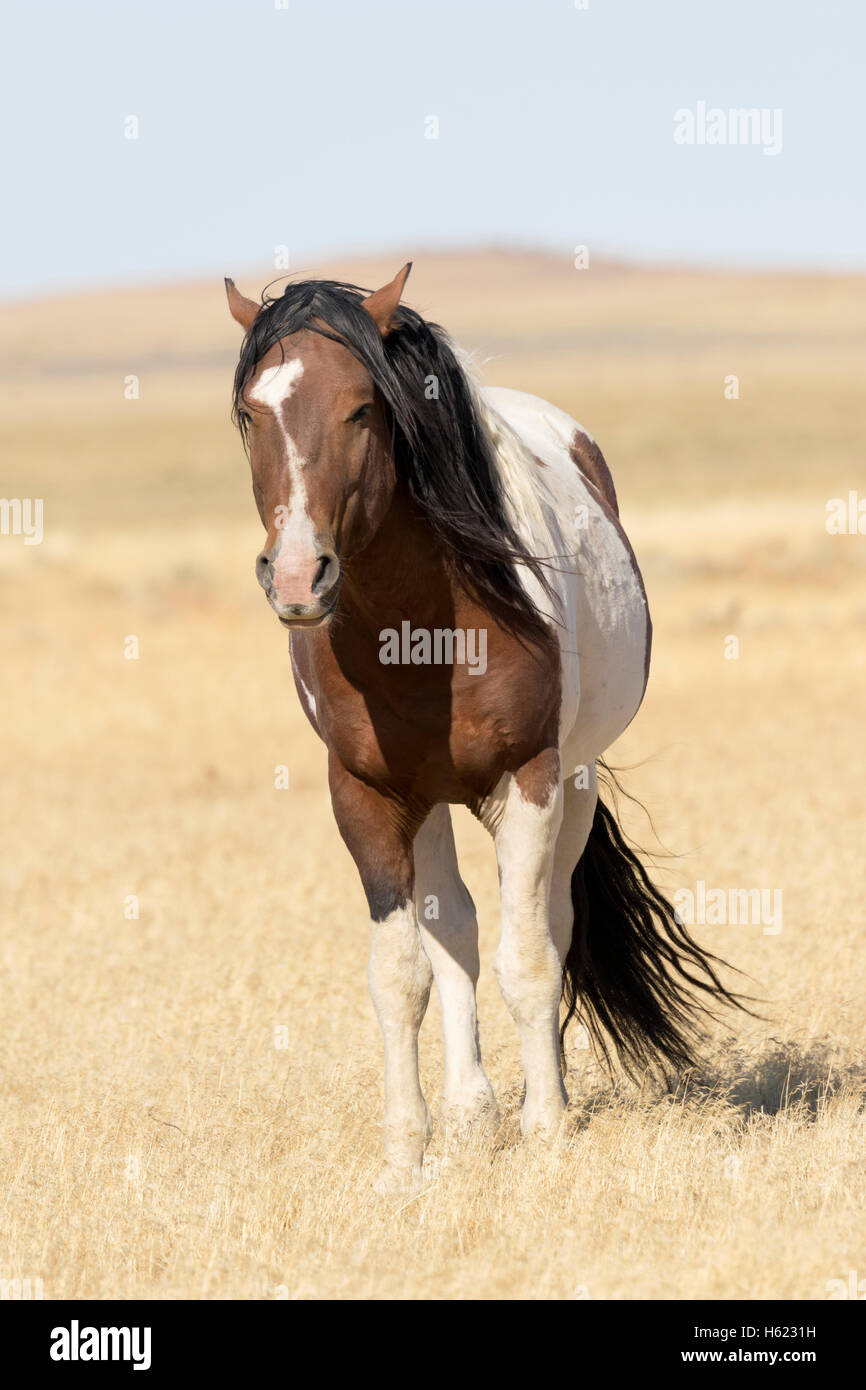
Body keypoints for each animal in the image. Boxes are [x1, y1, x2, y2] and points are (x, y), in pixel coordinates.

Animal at [224, 264, 744, 1193]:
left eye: (363, 408)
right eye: (252, 413)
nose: (297, 576)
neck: (423, 628)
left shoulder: (529, 781)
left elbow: (529, 959)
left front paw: (546, 1133)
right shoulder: (366, 797)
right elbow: (402, 973)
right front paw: (406, 1153)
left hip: (573, 783)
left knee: (550, 927)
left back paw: (549, 1097)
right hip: (431, 802)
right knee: (456, 932)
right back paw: (471, 1115)